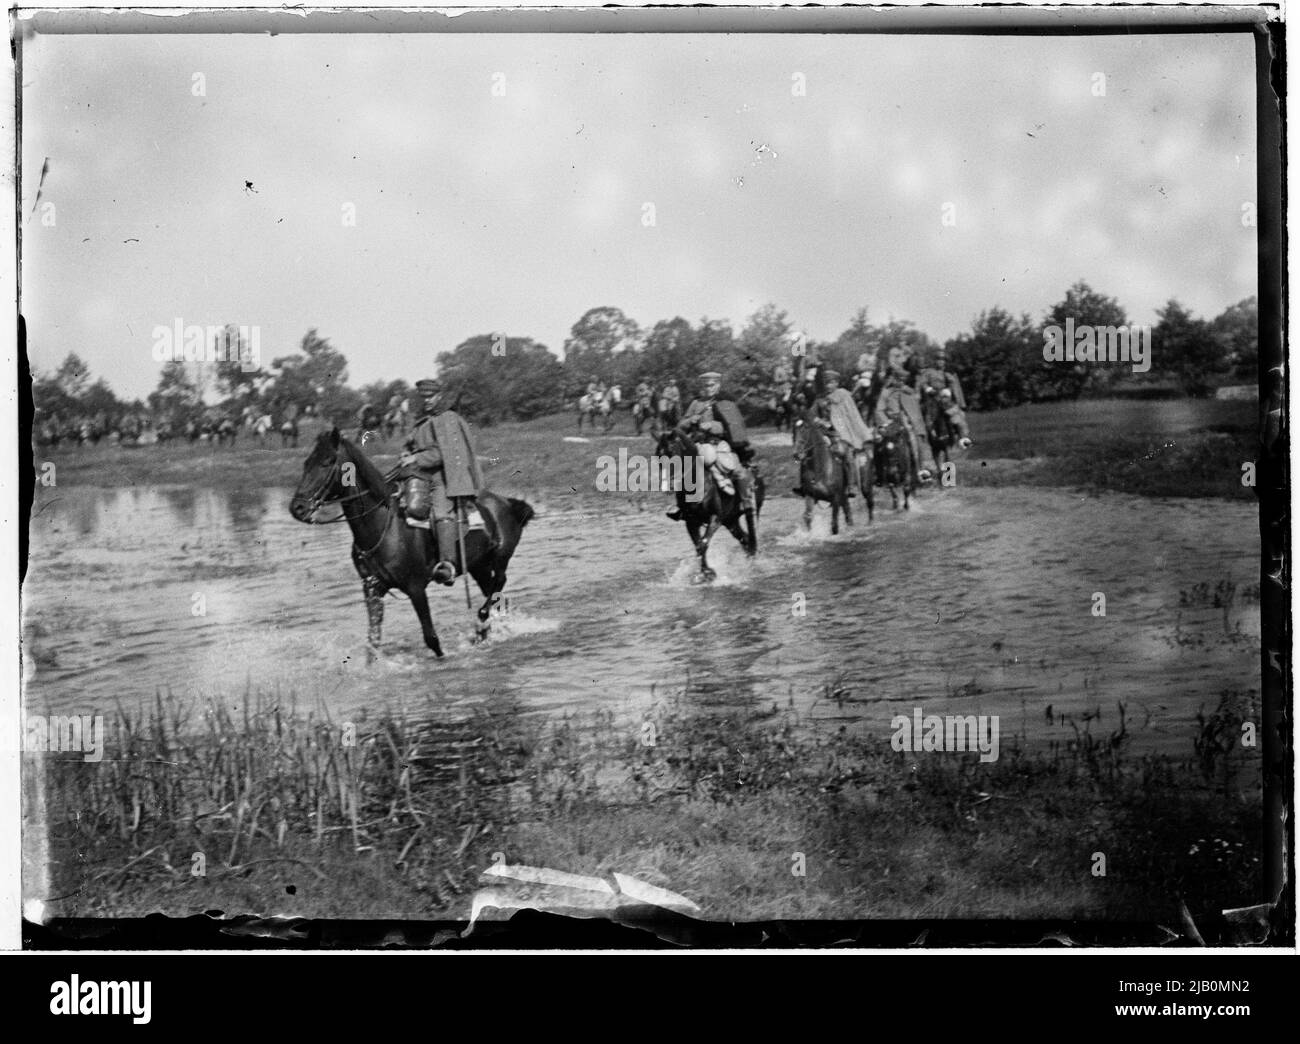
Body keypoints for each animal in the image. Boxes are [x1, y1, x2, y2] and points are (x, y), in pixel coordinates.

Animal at [292, 423, 535, 652]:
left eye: (327, 461)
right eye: (306, 463)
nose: (297, 508)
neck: (384, 528)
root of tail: (506, 503)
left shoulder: (416, 588)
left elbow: (431, 638)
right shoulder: (372, 590)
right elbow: (372, 643)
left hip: (501, 556)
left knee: (500, 581)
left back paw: (481, 624)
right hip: (478, 566)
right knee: (497, 596)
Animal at [650, 429, 759, 585]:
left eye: (672, 452)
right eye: (658, 455)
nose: (667, 486)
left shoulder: (715, 519)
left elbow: (703, 544)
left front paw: (707, 573)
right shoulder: (691, 522)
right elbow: (698, 546)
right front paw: (705, 573)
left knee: (750, 532)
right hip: (730, 521)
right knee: (744, 538)